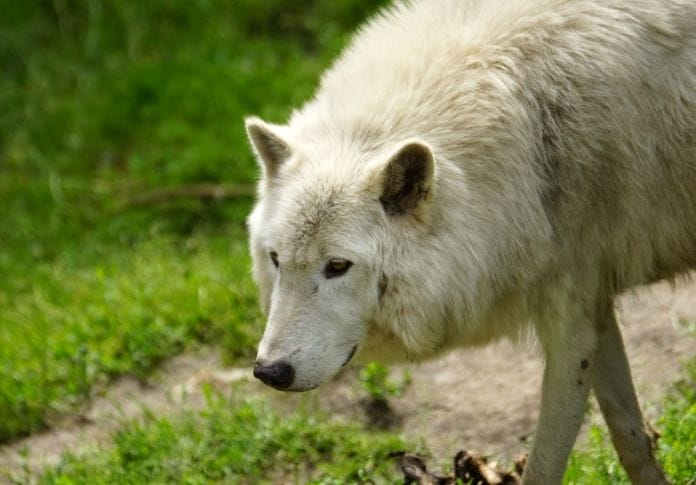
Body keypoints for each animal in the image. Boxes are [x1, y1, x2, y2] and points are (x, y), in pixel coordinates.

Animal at [244, 0, 696, 483]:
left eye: (337, 266)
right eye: (276, 259)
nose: (269, 371)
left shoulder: (571, 330)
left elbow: (545, 465)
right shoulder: (592, 308)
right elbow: (631, 438)